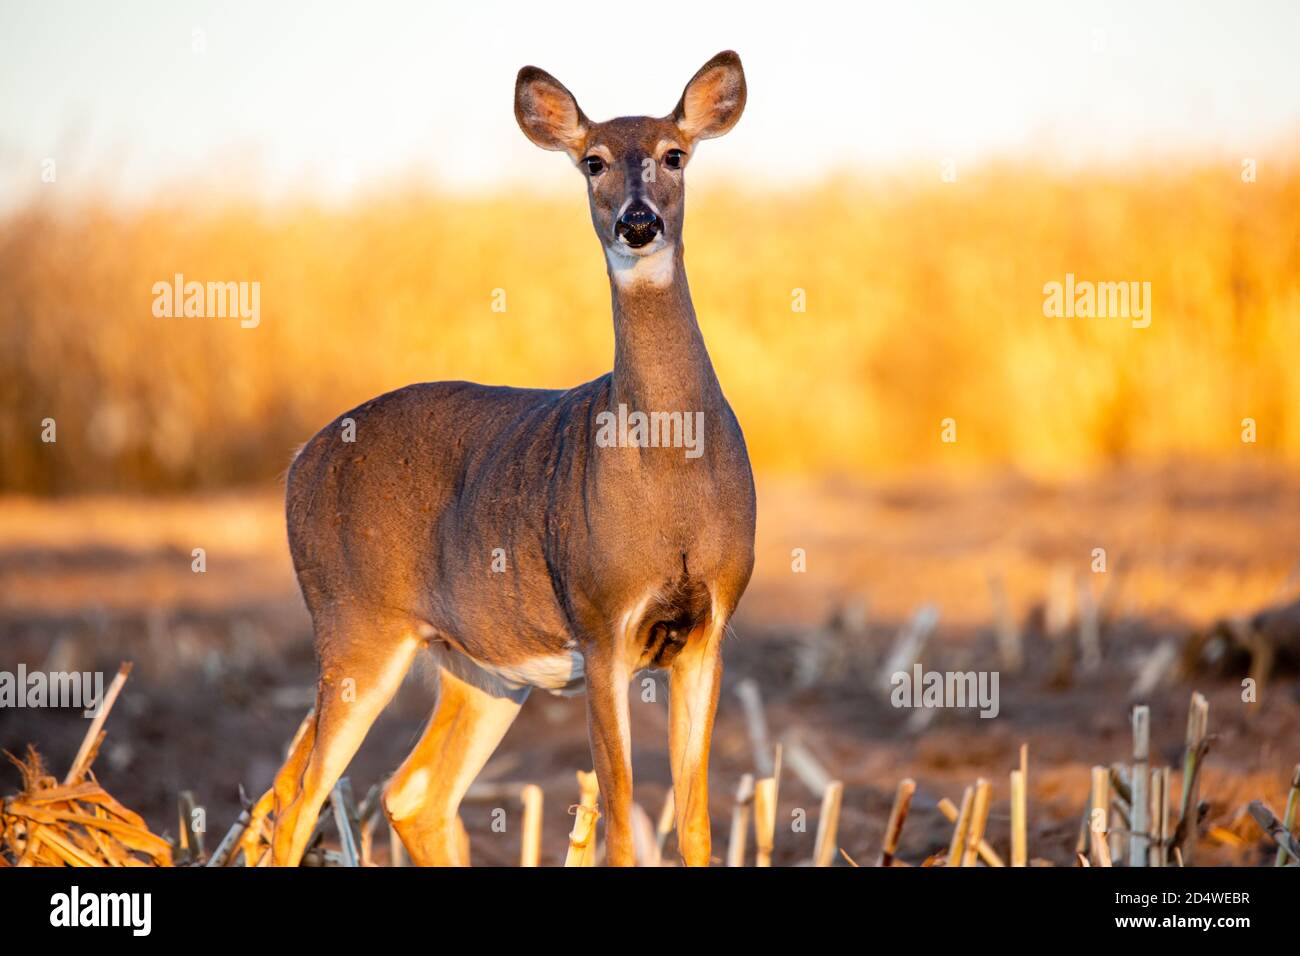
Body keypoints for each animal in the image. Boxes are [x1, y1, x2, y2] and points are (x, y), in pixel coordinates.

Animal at [260, 50, 756, 867]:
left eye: (674, 155)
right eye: (592, 162)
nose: (638, 222)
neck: (670, 477)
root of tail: (300, 460)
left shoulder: (707, 629)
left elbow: (694, 824)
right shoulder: (600, 621)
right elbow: (620, 821)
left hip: (477, 665)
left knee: (408, 792)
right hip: (354, 625)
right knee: (296, 802)